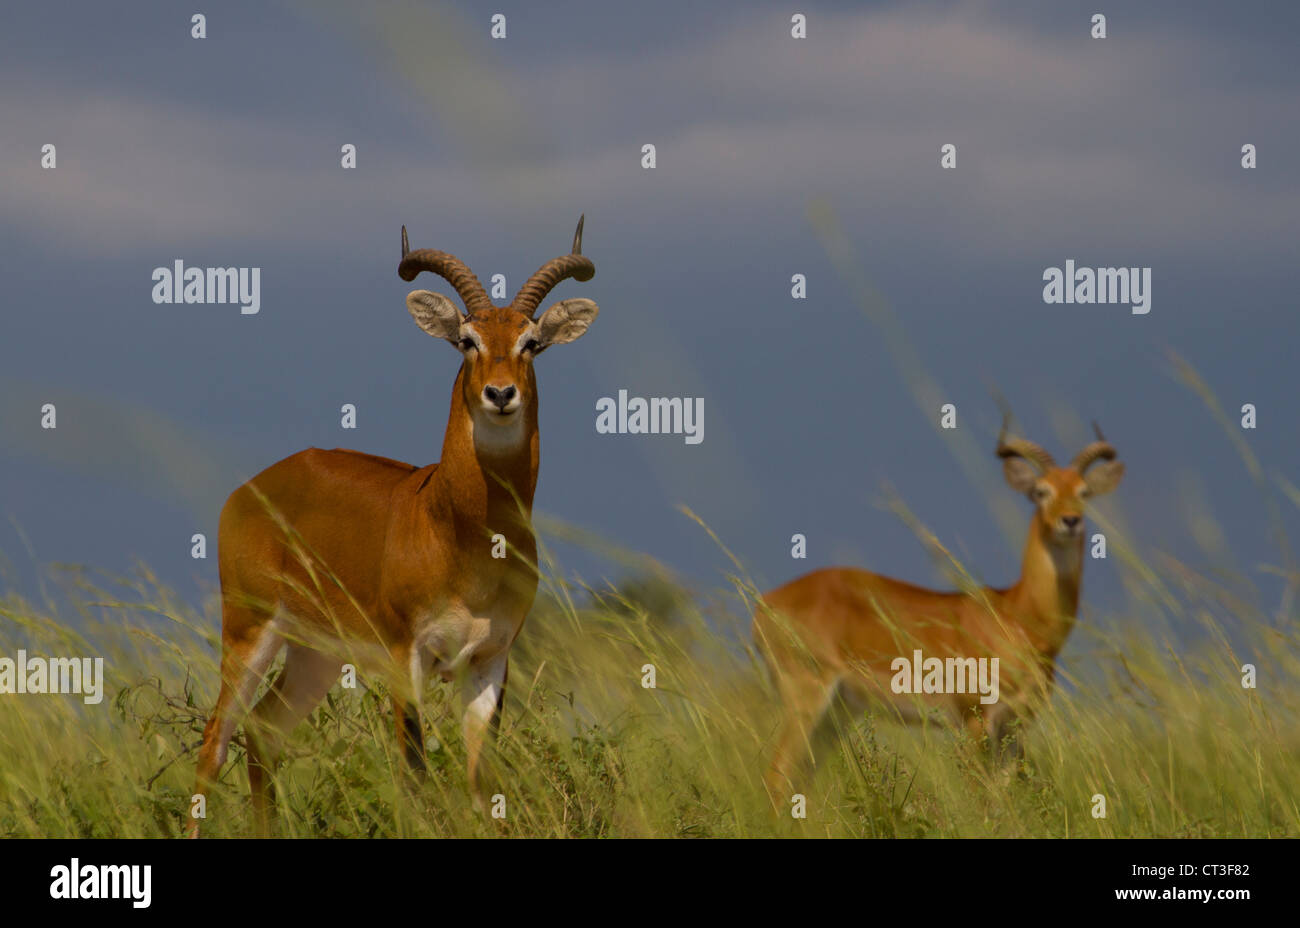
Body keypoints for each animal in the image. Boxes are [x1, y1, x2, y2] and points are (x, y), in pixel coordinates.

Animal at [190, 217, 599, 836]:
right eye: (467, 340)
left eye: (531, 343)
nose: (500, 393)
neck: (463, 537)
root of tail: (250, 488)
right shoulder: (408, 656)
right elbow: (414, 775)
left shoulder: (491, 660)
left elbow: (480, 785)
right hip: (249, 630)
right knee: (214, 744)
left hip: (316, 655)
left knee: (261, 734)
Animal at [753, 418, 1124, 803]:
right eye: (1041, 491)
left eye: (1084, 492)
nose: (1070, 521)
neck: (1017, 615)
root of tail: (766, 602)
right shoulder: (975, 719)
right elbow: (980, 797)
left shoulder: (1015, 724)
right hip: (807, 699)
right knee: (776, 778)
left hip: (835, 714)